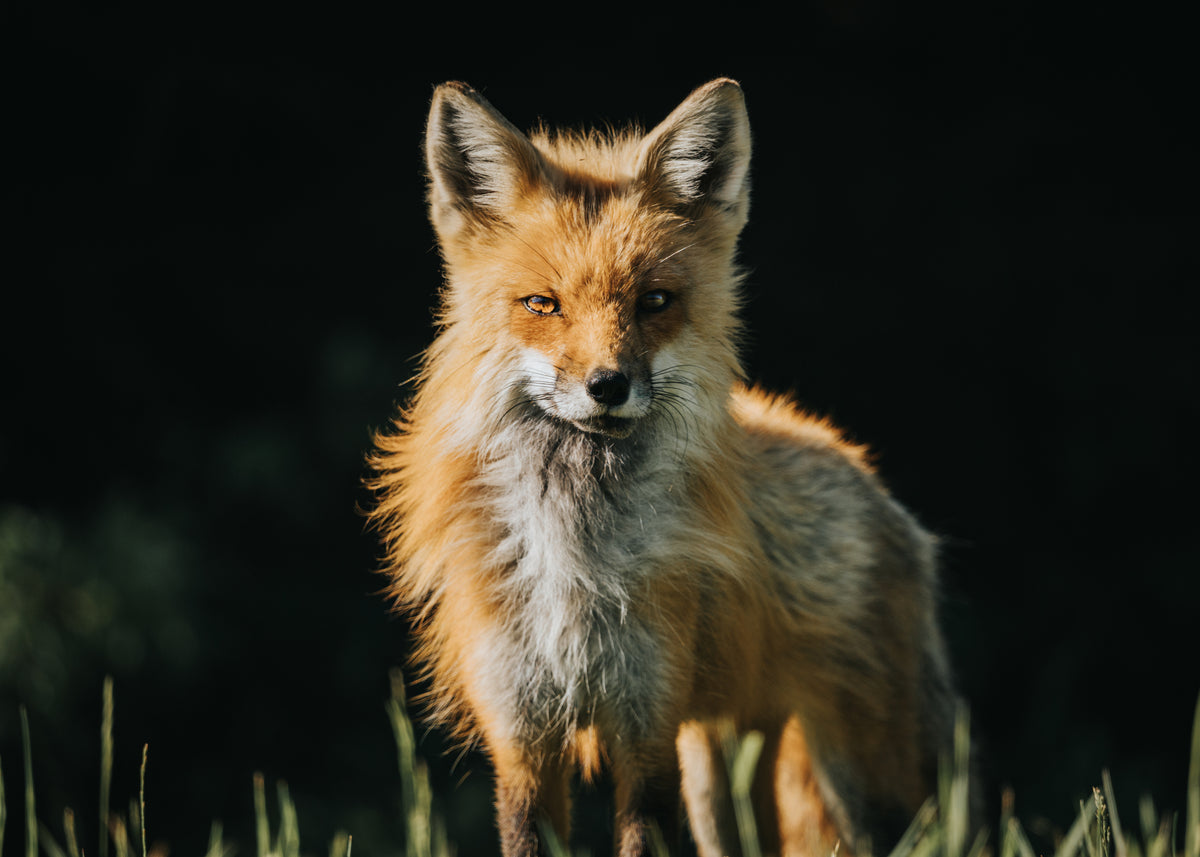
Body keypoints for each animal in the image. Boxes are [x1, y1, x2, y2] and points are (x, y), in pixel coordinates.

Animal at [367, 79, 962, 857]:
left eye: (654, 301)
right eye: (542, 304)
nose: (607, 385)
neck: (575, 550)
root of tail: (853, 462)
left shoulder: (645, 722)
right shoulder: (524, 732)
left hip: (856, 781)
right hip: (717, 768)